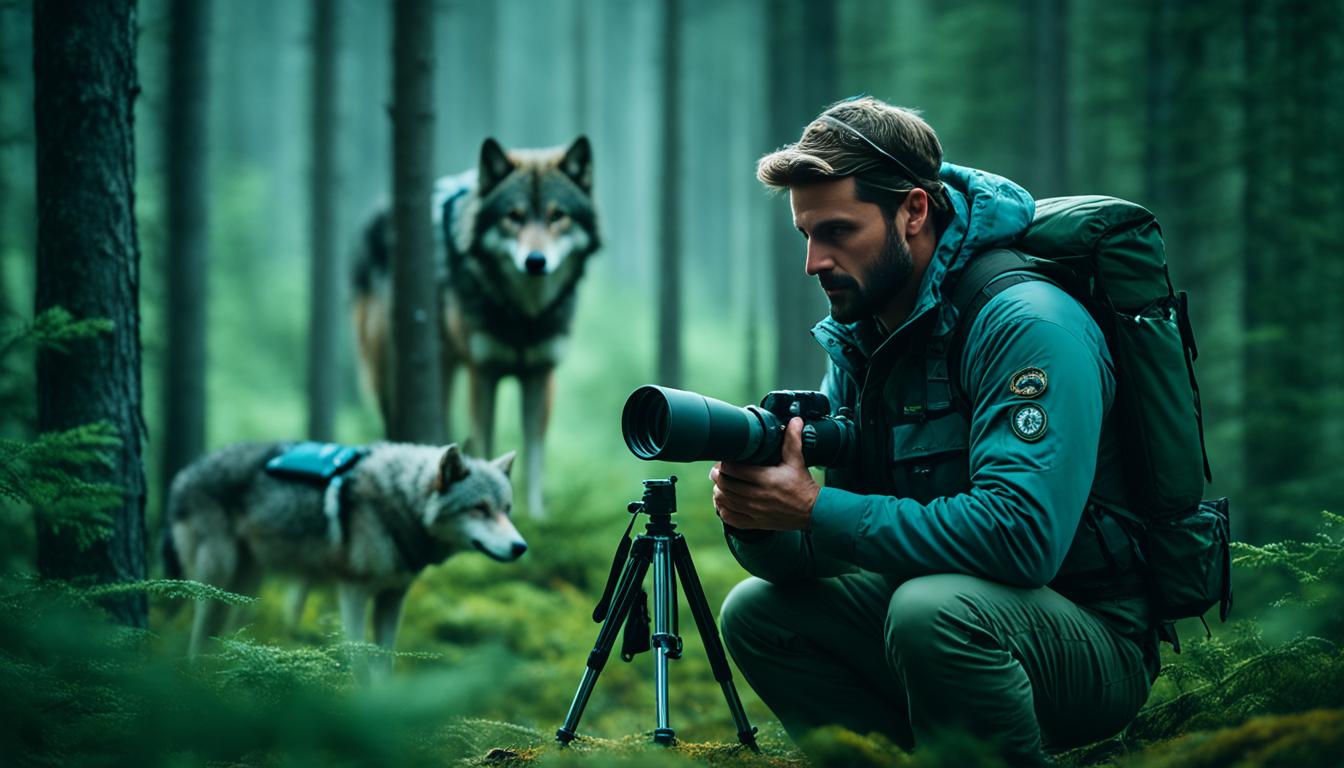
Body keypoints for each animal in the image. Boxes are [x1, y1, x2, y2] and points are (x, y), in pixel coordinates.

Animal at [162, 441, 525, 662]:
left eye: (507, 510)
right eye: (479, 508)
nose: (521, 547)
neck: (398, 504)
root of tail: (180, 477)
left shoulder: (392, 599)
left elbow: (384, 664)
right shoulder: (353, 592)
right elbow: (360, 663)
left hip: (242, 591)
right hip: (216, 587)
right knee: (194, 643)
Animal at [352, 136, 601, 519]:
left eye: (557, 216)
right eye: (514, 216)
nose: (535, 261)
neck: (523, 315)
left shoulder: (540, 374)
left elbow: (535, 456)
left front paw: (537, 518)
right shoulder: (482, 371)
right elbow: (485, 441)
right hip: (400, 368)